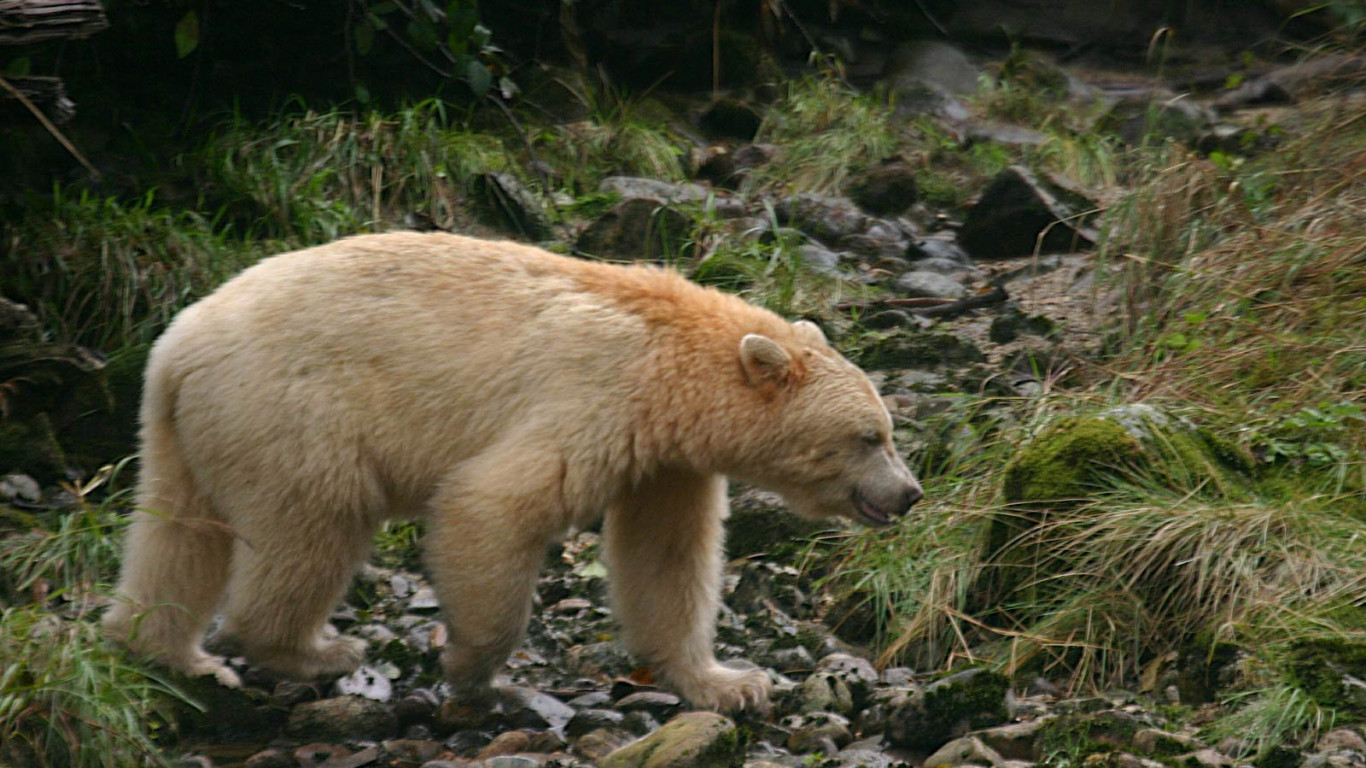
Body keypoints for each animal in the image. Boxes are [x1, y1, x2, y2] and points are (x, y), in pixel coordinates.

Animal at [103, 231, 923, 711]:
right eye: (870, 436)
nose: (911, 494)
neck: (672, 362)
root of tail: (177, 345)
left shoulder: (664, 459)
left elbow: (665, 556)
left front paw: (731, 683)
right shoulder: (598, 399)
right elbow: (493, 504)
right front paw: (472, 666)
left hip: (194, 427)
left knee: (178, 533)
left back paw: (171, 653)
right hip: (294, 412)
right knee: (314, 525)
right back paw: (312, 649)